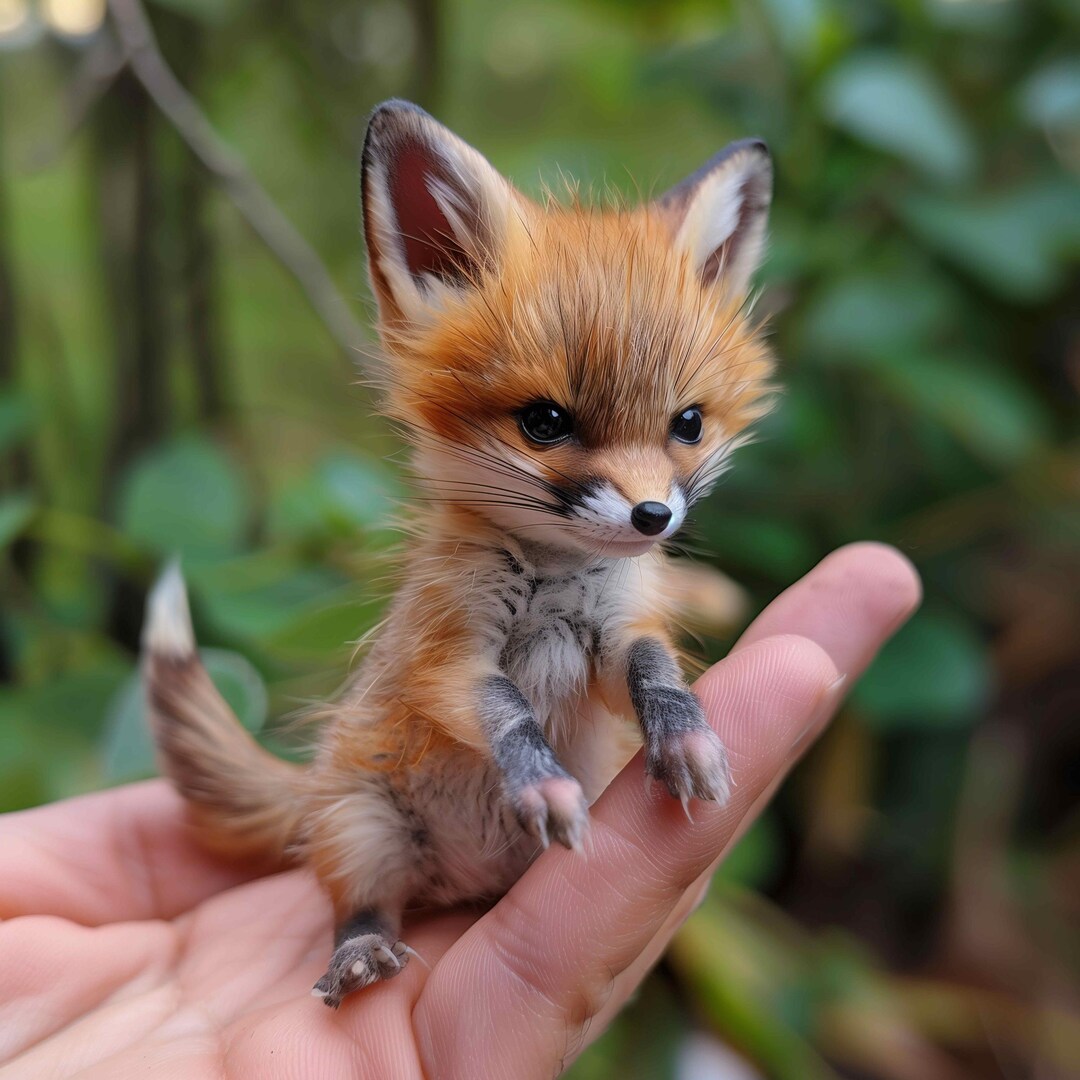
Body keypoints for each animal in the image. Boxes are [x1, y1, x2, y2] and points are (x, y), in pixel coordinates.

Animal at [142, 100, 775, 1009]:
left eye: (686, 424)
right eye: (544, 422)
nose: (652, 516)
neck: (553, 583)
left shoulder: (615, 632)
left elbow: (655, 673)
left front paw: (685, 739)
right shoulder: (448, 655)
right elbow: (508, 713)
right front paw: (541, 783)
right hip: (363, 830)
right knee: (360, 904)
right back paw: (361, 951)